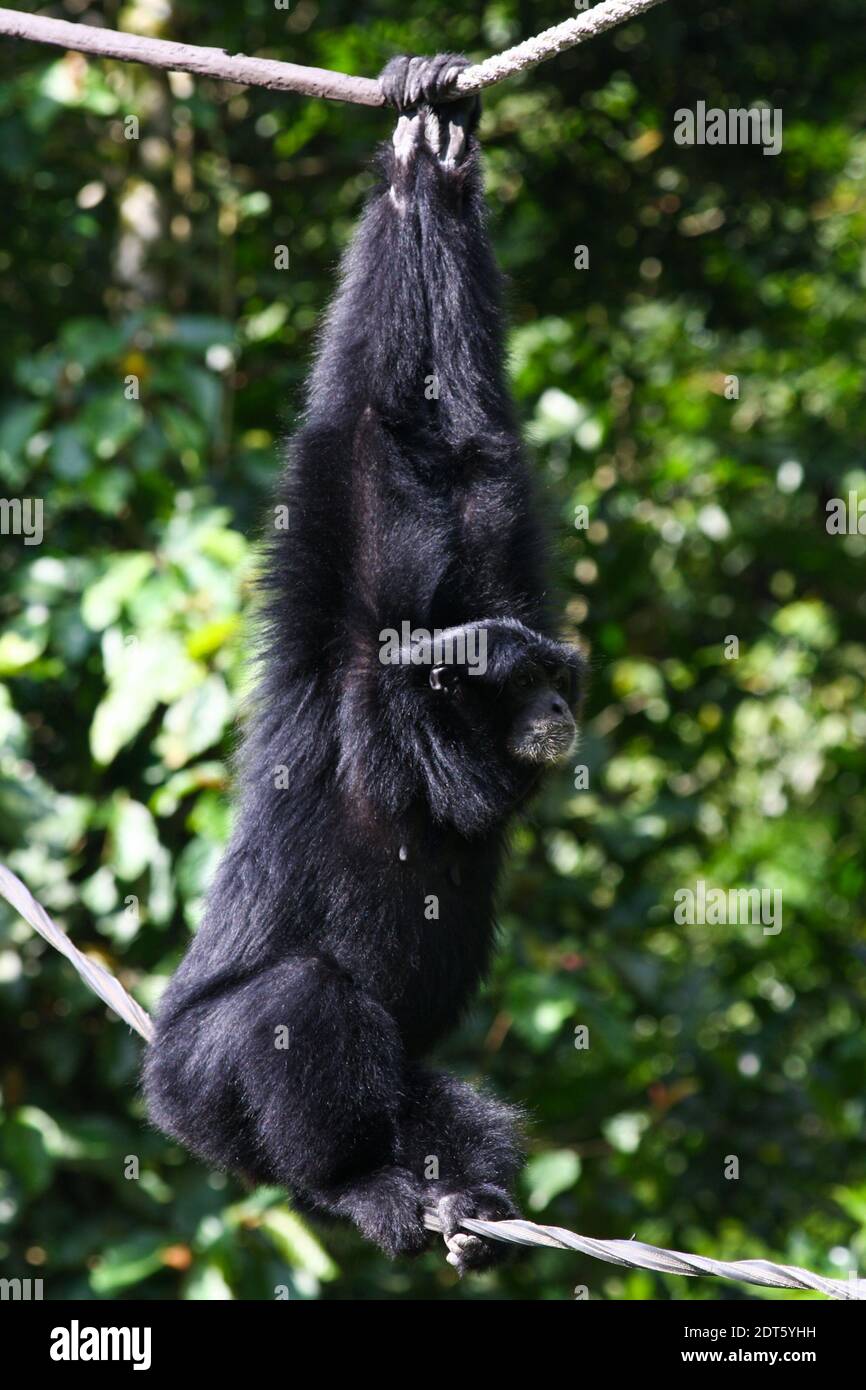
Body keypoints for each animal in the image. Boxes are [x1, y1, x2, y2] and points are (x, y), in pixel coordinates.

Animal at [143, 53, 584, 1275]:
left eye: (556, 675)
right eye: (518, 685)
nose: (557, 710)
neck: (415, 765)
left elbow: (470, 457)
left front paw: (436, 163)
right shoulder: (342, 663)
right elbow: (367, 434)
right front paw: (409, 171)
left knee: (442, 1099)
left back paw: (459, 1196)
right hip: (195, 1086)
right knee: (299, 1001)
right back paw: (354, 1185)